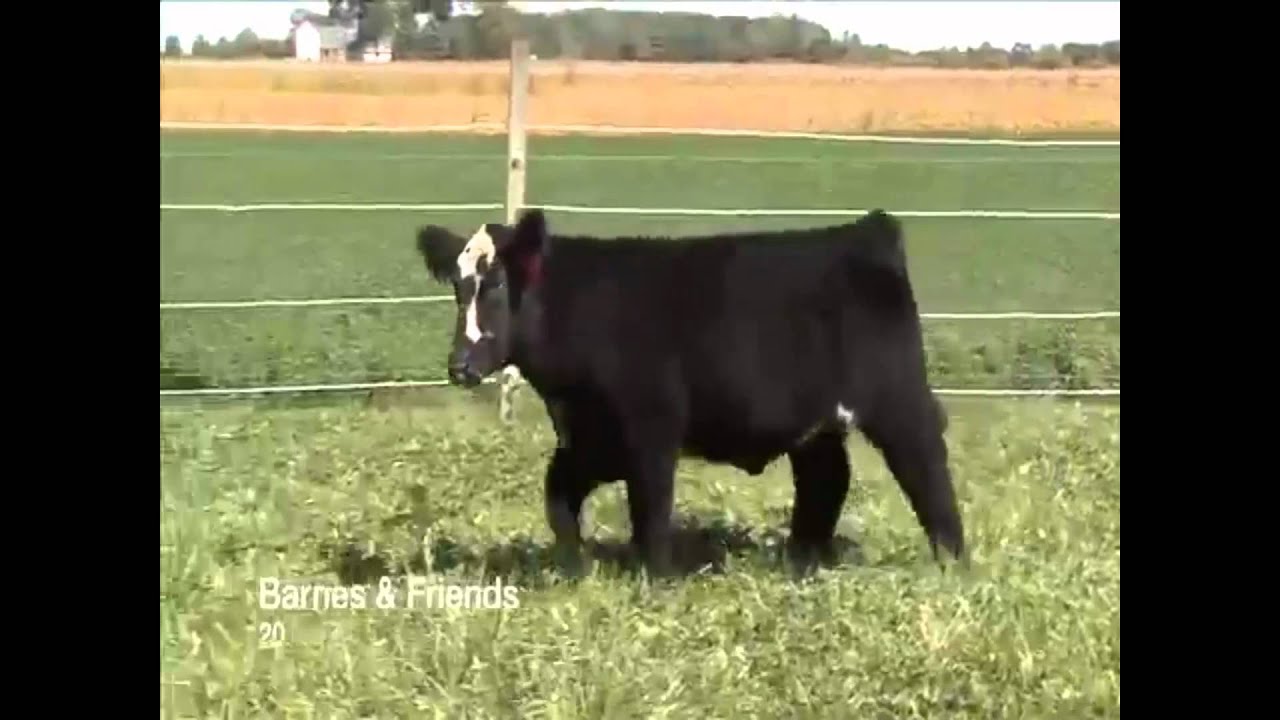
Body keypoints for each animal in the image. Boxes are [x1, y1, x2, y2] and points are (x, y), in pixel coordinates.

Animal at [413, 209, 967, 578]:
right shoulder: (588, 437)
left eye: (497, 285)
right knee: (825, 481)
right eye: (459, 288)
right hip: (816, 426)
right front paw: (574, 567)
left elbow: (651, 508)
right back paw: (800, 563)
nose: (460, 366)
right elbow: (558, 500)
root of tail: (865, 230)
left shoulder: (651, 428)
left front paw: (654, 578)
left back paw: (953, 562)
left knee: (926, 469)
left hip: (899, 403)